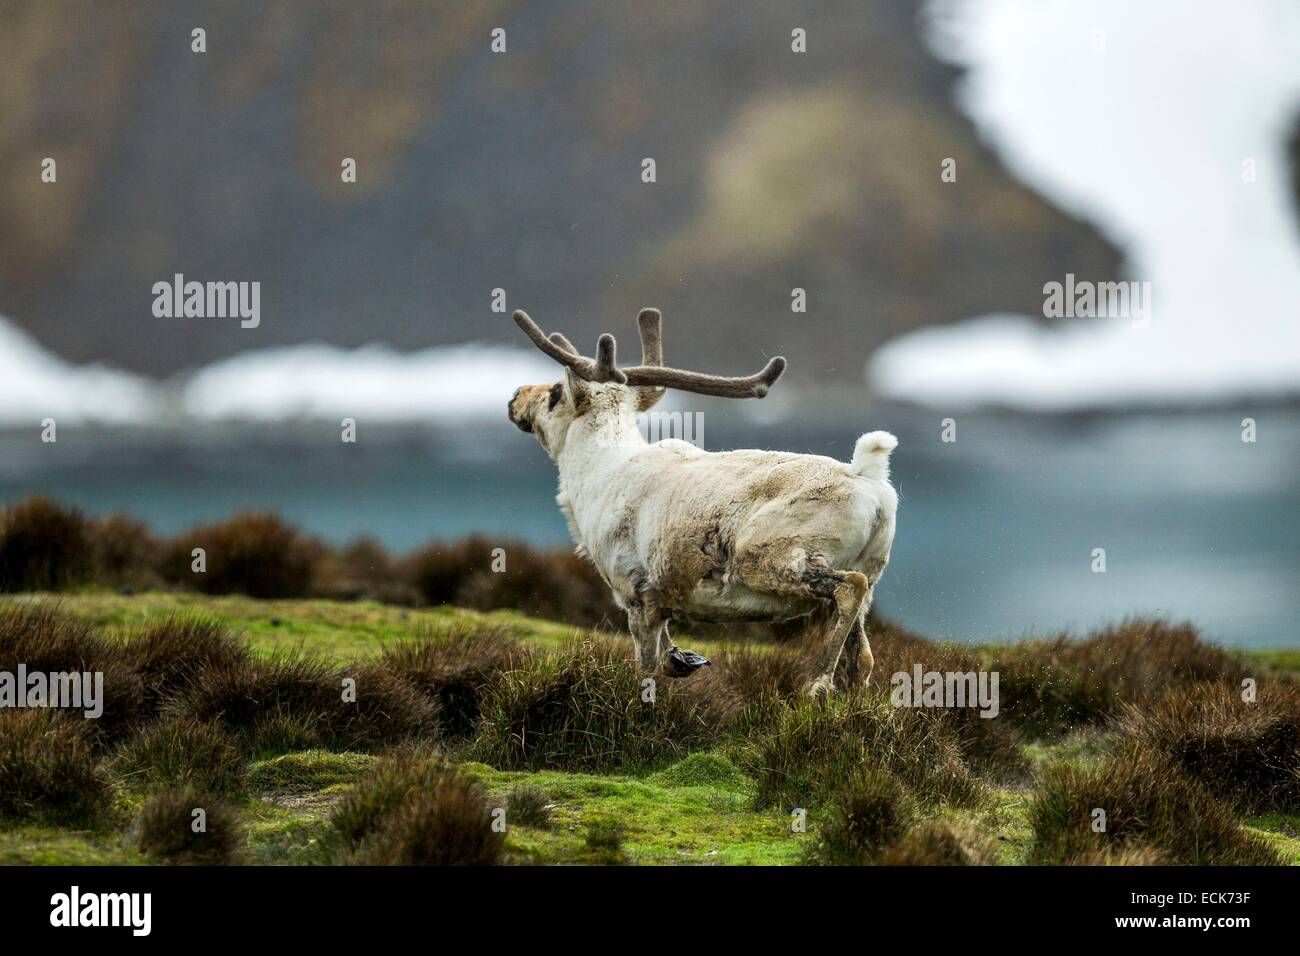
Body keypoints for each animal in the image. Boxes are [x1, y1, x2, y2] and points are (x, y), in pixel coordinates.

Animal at [506, 308, 898, 698]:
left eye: (555, 392)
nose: (515, 395)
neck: (597, 477)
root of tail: (870, 478)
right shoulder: (661, 598)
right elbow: (668, 654)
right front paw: (684, 661)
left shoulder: (635, 591)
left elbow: (645, 667)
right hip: (872, 573)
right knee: (864, 656)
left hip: (771, 557)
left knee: (850, 587)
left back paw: (816, 684)